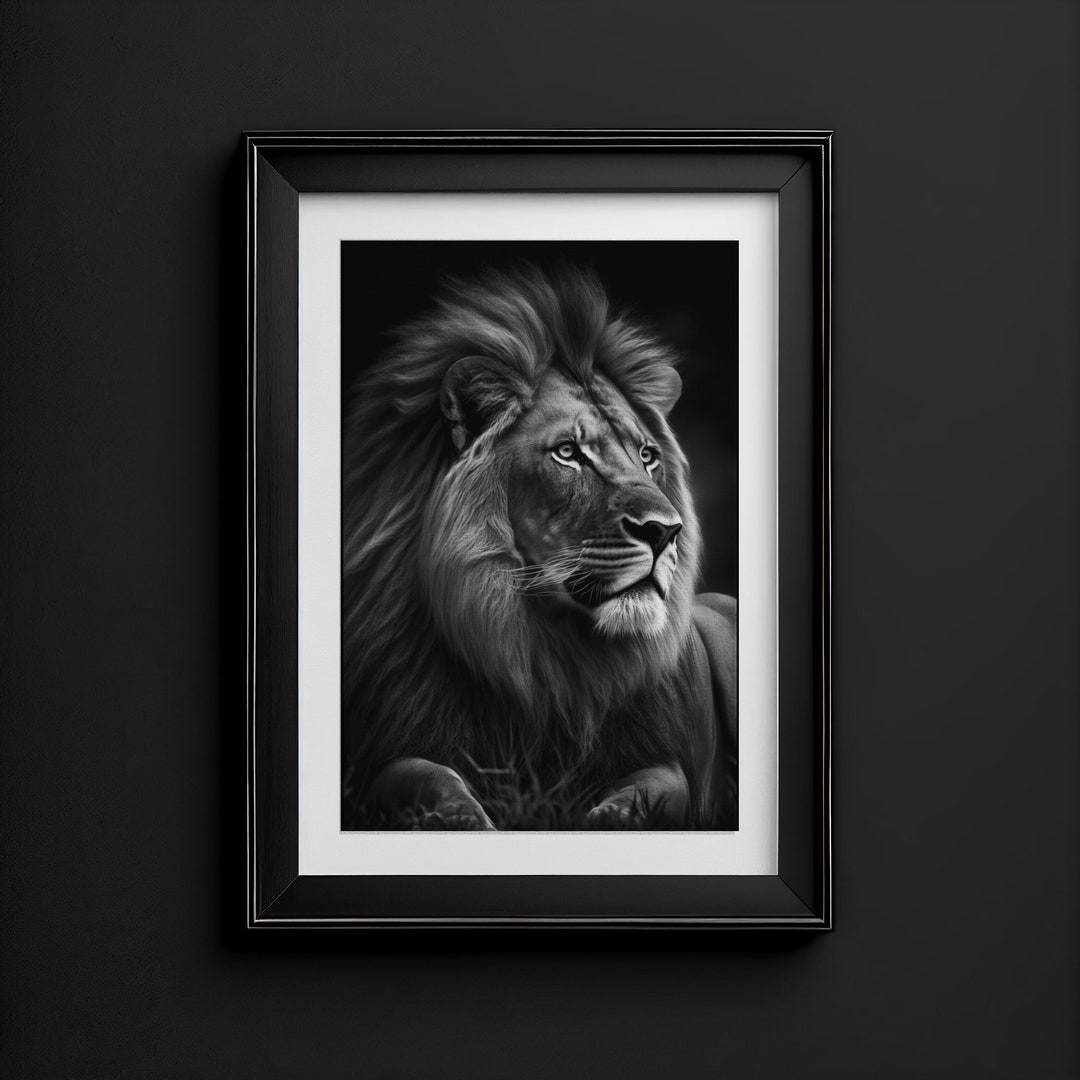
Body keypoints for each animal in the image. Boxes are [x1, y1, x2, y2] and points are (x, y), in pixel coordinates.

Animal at [342, 264, 736, 830]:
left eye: (647, 455)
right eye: (568, 453)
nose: (666, 531)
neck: (545, 655)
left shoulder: (667, 765)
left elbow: (645, 799)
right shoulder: (387, 754)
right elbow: (434, 785)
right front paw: (474, 820)